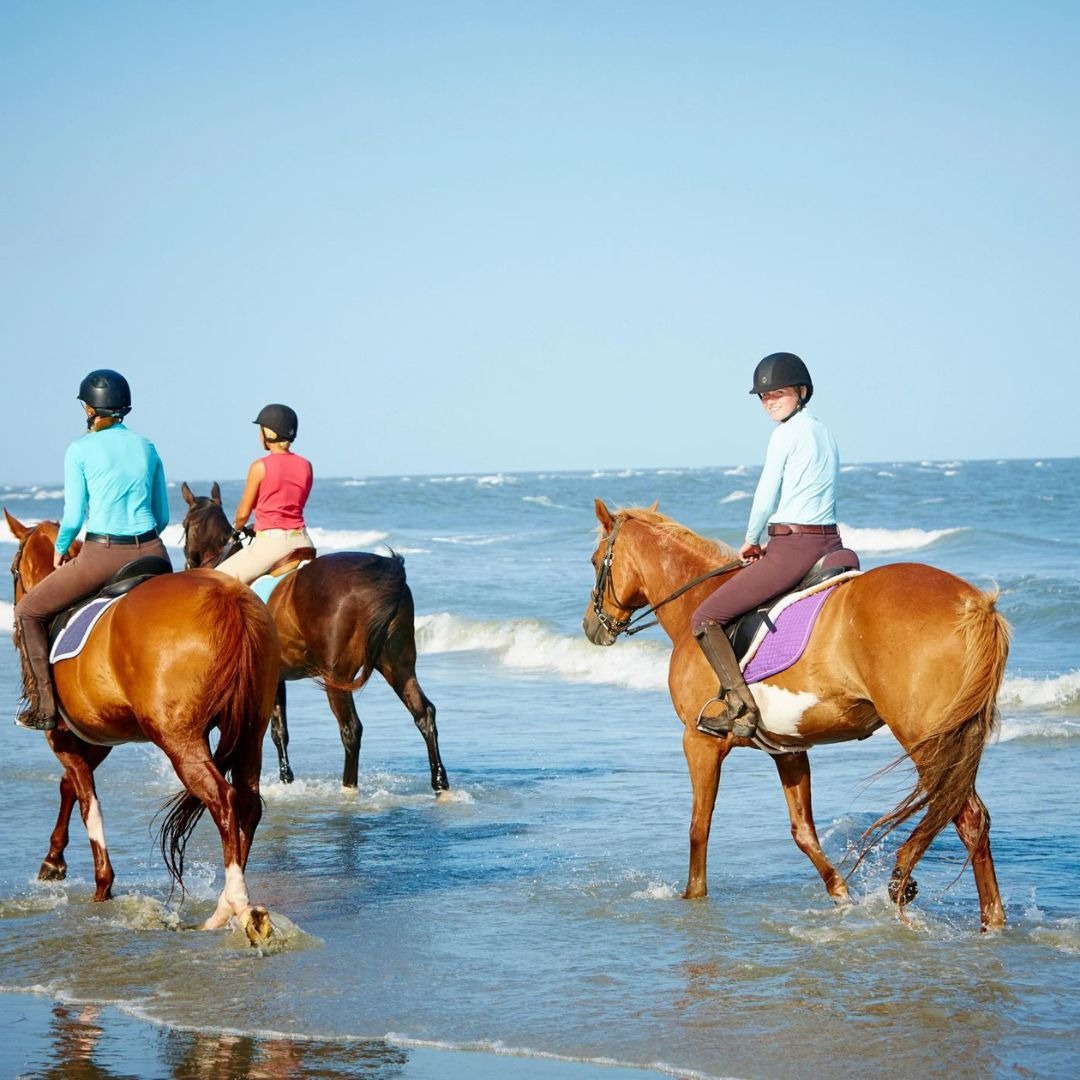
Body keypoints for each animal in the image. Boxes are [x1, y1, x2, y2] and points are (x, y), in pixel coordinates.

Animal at [5, 510, 281, 944]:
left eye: (14, 570)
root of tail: (229, 598)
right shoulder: (99, 737)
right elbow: (71, 788)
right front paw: (53, 861)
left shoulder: (62, 736)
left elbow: (88, 802)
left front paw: (101, 886)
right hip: (251, 729)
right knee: (249, 803)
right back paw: (224, 904)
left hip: (180, 739)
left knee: (223, 800)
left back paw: (234, 904)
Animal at [179, 483, 449, 796]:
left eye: (184, 525)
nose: (187, 565)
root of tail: (386, 574)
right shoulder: (274, 677)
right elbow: (278, 729)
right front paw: (286, 779)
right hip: (398, 665)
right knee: (423, 712)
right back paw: (440, 784)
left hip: (339, 676)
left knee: (351, 728)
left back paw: (348, 789)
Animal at [582, 500, 1010, 930]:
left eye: (595, 561)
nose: (591, 627)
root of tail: (974, 603)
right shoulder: (787, 748)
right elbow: (803, 830)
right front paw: (840, 891)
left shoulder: (699, 740)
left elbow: (698, 827)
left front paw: (693, 896)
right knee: (973, 818)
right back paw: (989, 919)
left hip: (927, 739)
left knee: (966, 816)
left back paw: (926, 893)